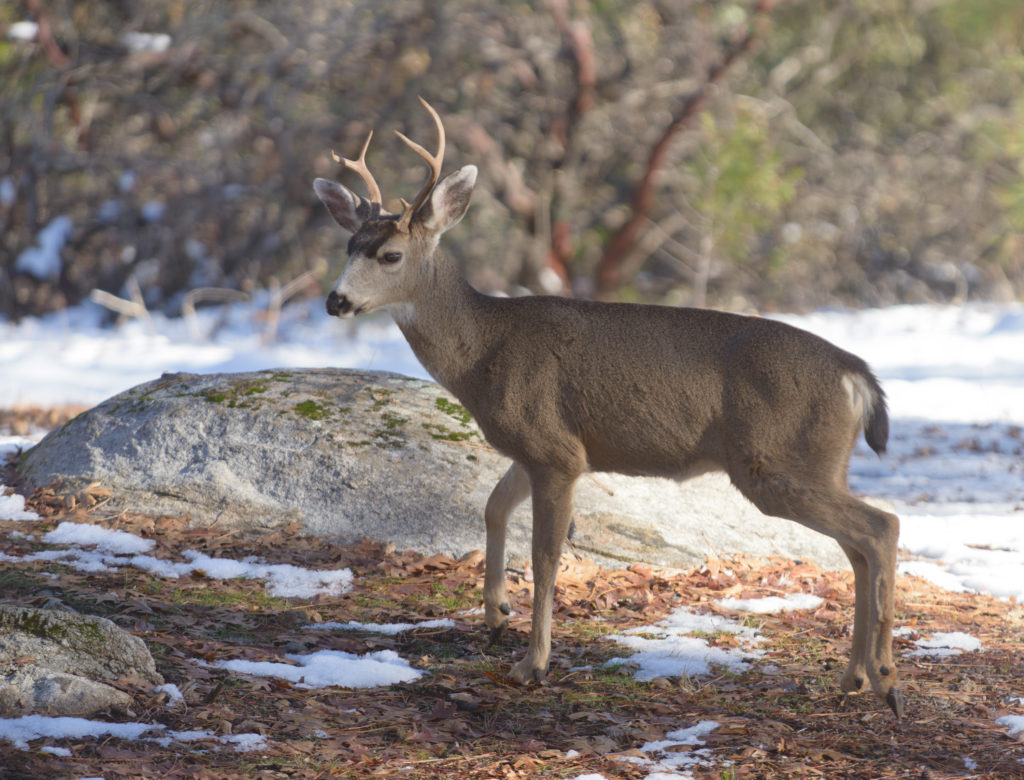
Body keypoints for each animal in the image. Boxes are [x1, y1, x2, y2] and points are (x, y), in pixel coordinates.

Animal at [313, 98, 904, 718]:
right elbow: (493, 509)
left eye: (390, 254)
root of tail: (855, 374)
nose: (335, 301)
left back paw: (886, 679)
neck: (482, 351)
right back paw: (853, 678)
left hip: (774, 460)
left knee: (880, 526)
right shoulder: (537, 446)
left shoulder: (556, 450)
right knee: (858, 545)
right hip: (820, 462)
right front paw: (495, 617)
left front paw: (532, 664)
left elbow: (546, 555)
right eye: (348, 247)